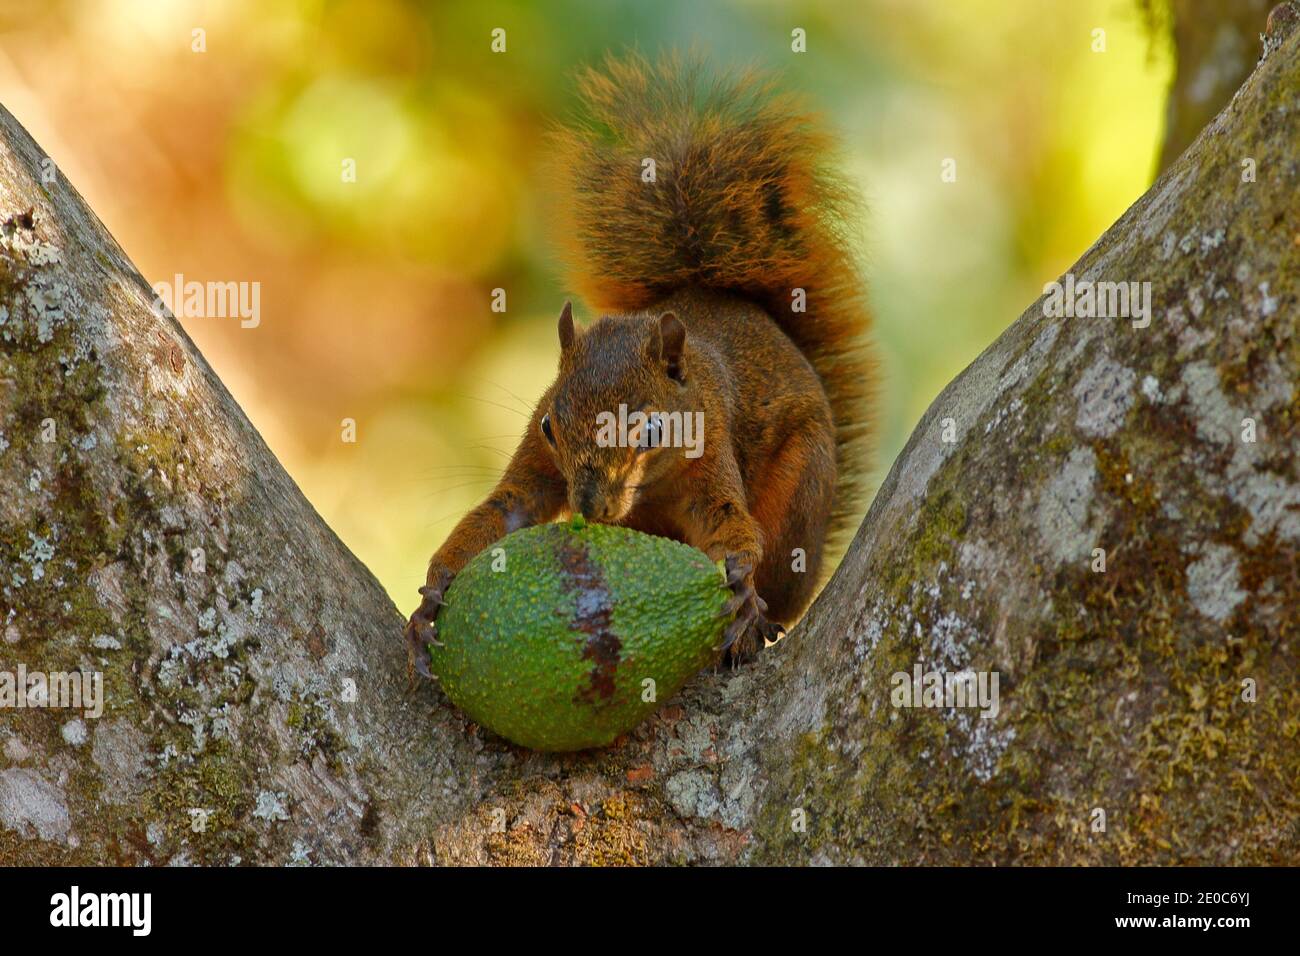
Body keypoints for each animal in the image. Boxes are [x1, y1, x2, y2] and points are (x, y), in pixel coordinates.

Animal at [405, 52, 876, 674]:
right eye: (550, 426)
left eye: (652, 430)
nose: (590, 505)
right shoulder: (537, 463)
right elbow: (505, 510)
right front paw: (432, 594)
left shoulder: (713, 451)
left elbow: (728, 522)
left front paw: (741, 588)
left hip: (802, 489)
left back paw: (757, 623)